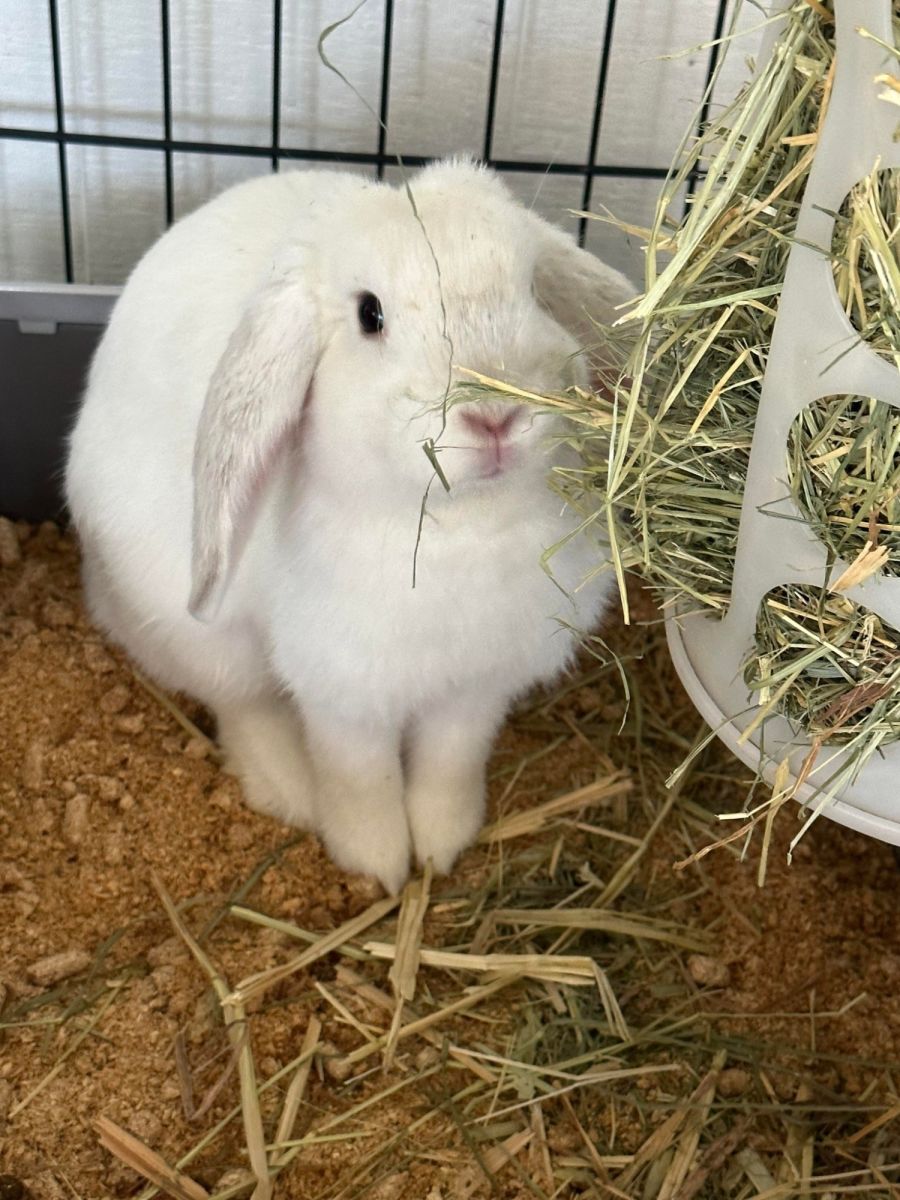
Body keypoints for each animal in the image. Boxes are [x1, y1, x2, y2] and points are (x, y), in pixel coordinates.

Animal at [65, 158, 635, 893]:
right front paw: (378, 866)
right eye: (370, 314)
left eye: (534, 288)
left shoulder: (476, 690)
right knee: (244, 705)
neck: (462, 529)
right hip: (197, 632)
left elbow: (450, 762)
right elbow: (359, 777)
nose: (495, 417)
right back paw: (289, 791)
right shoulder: (342, 696)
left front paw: (441, 847)